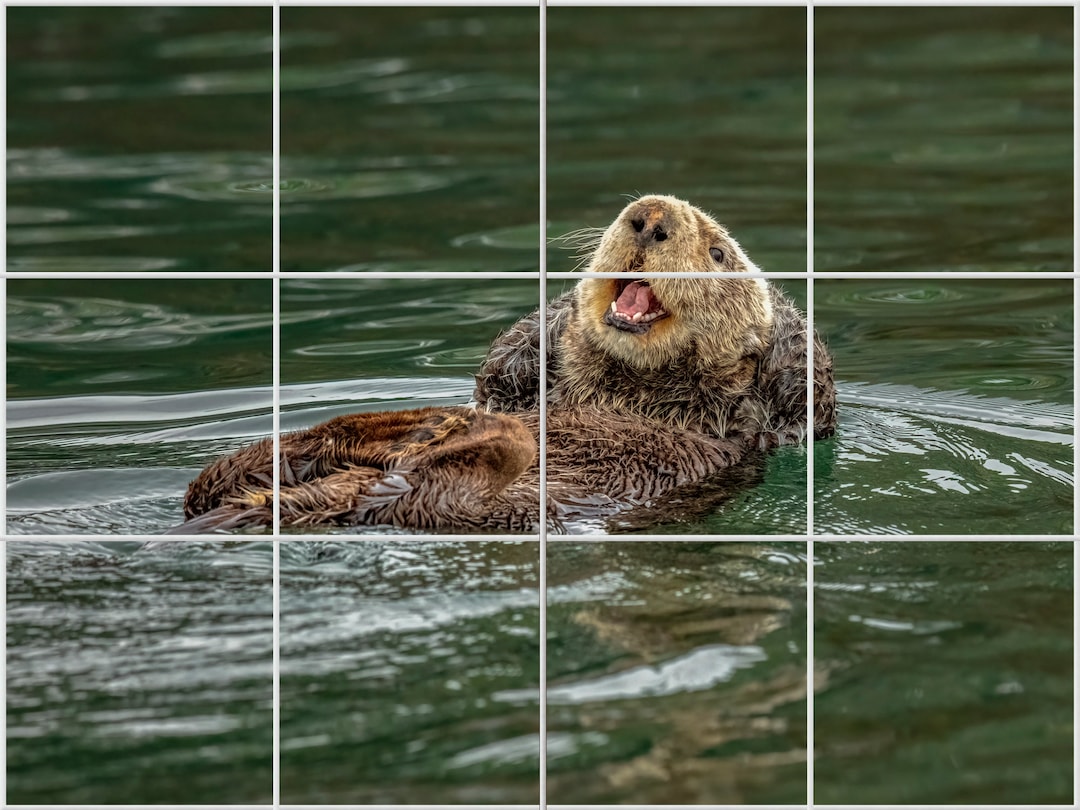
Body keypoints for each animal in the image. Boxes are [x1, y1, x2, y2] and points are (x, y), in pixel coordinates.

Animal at [174, 195, 836, 534]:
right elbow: (506, 369)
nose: (650, 217)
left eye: (719, 253)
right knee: (221, 477)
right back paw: (414, 426)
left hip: (500, 508)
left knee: (460, 478)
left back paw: (445, 432)